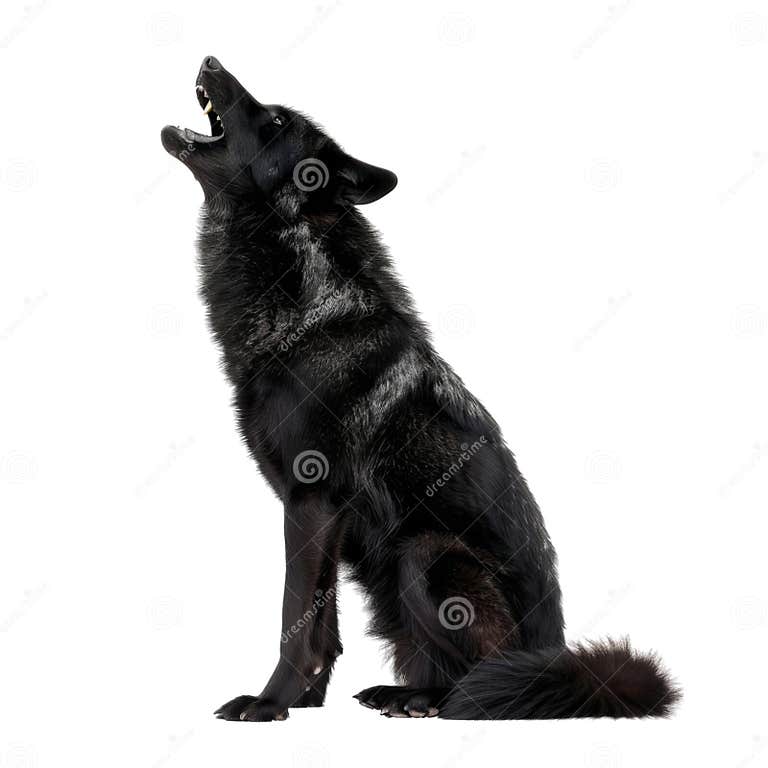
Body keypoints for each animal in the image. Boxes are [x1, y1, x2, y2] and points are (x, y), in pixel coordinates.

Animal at [161, 56, 679, 721]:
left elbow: (294, 620)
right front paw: (308, 703)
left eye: (273, 122)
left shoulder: (313, 501)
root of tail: (560, 658)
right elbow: (322, 622)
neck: (306, 305)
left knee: (486, 688)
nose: (211, 60)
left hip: (425, 554)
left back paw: (434, 701)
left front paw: (269, 704)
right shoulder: (315, 513)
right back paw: (404, 693)